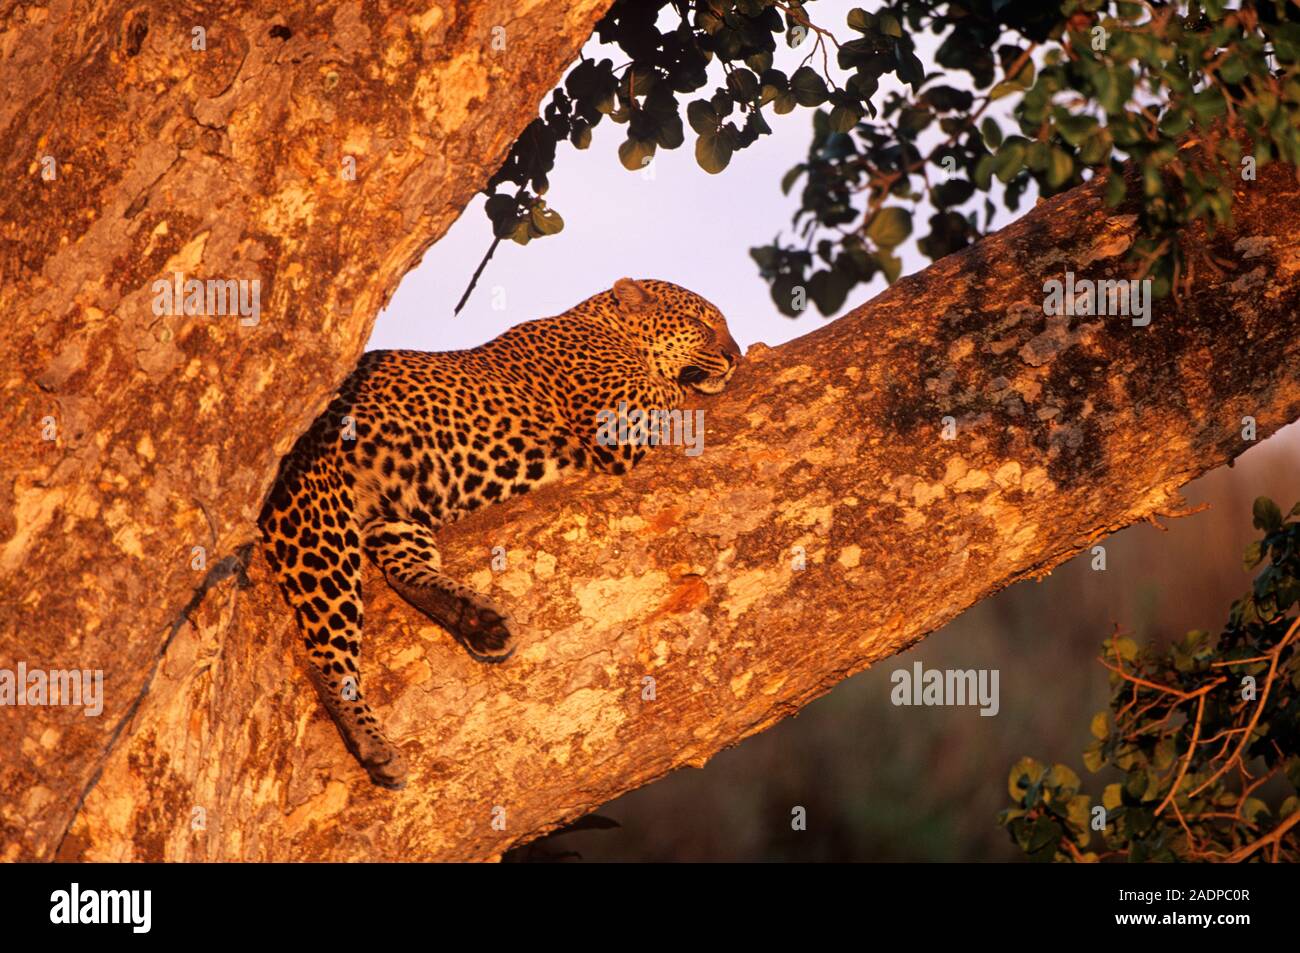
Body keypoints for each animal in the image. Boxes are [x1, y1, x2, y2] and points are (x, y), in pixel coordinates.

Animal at [259, 277, 742, 788]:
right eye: (698, 322)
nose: (735, 356)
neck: (607, 327)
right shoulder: (619, 422)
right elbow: (670, 390)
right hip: (315, 518)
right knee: (323, 653)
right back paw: (372, 743)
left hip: (391, 513)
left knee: (403, 570)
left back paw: (478, 620)